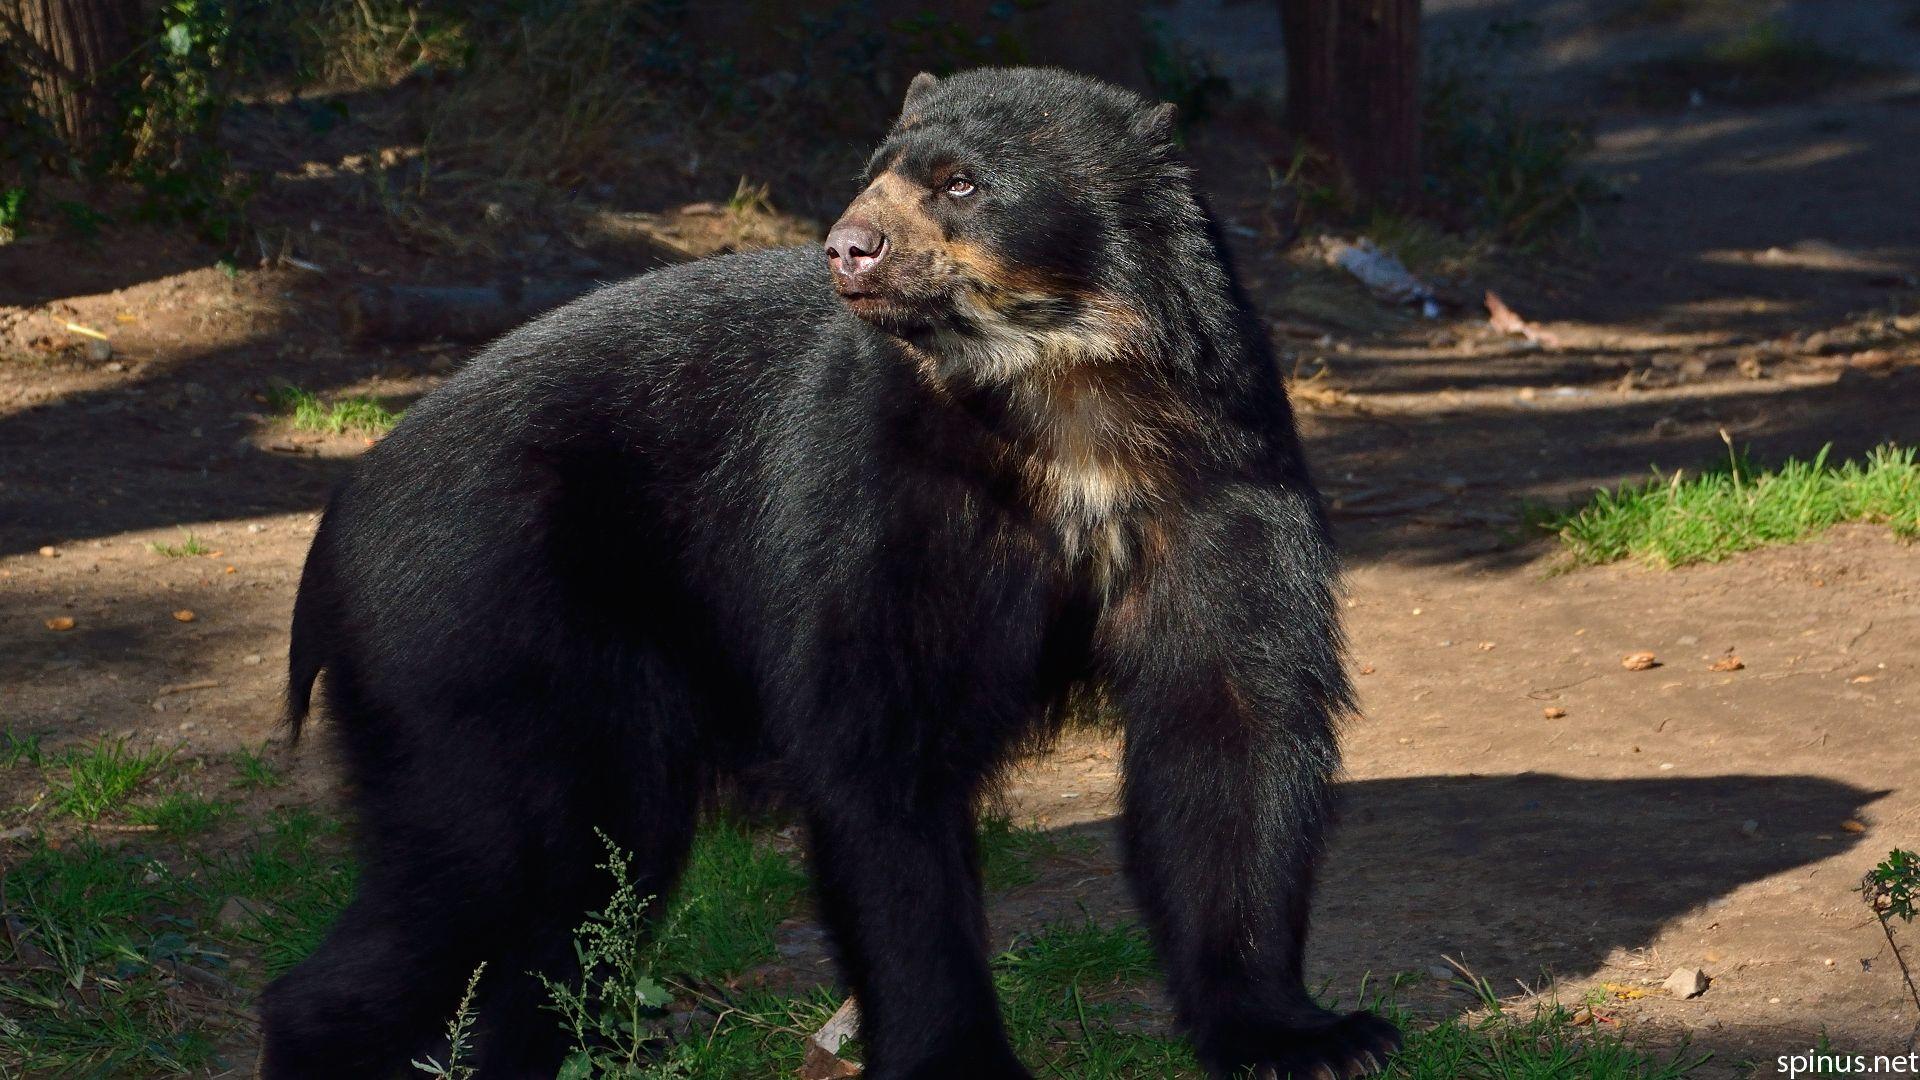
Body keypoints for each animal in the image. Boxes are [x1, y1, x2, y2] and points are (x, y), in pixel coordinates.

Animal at [258, 67, 1399, 1080]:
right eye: (873, 172)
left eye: (960, 182)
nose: (850, 246)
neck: (1060, 401)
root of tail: (337, 530)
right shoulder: (880, 493)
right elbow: (880, 748)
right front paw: (959, 1058)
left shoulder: (1214, 479)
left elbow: (1230, 727)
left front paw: (1315, 1037)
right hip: (481, 629)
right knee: (500, 855)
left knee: (563, 894)